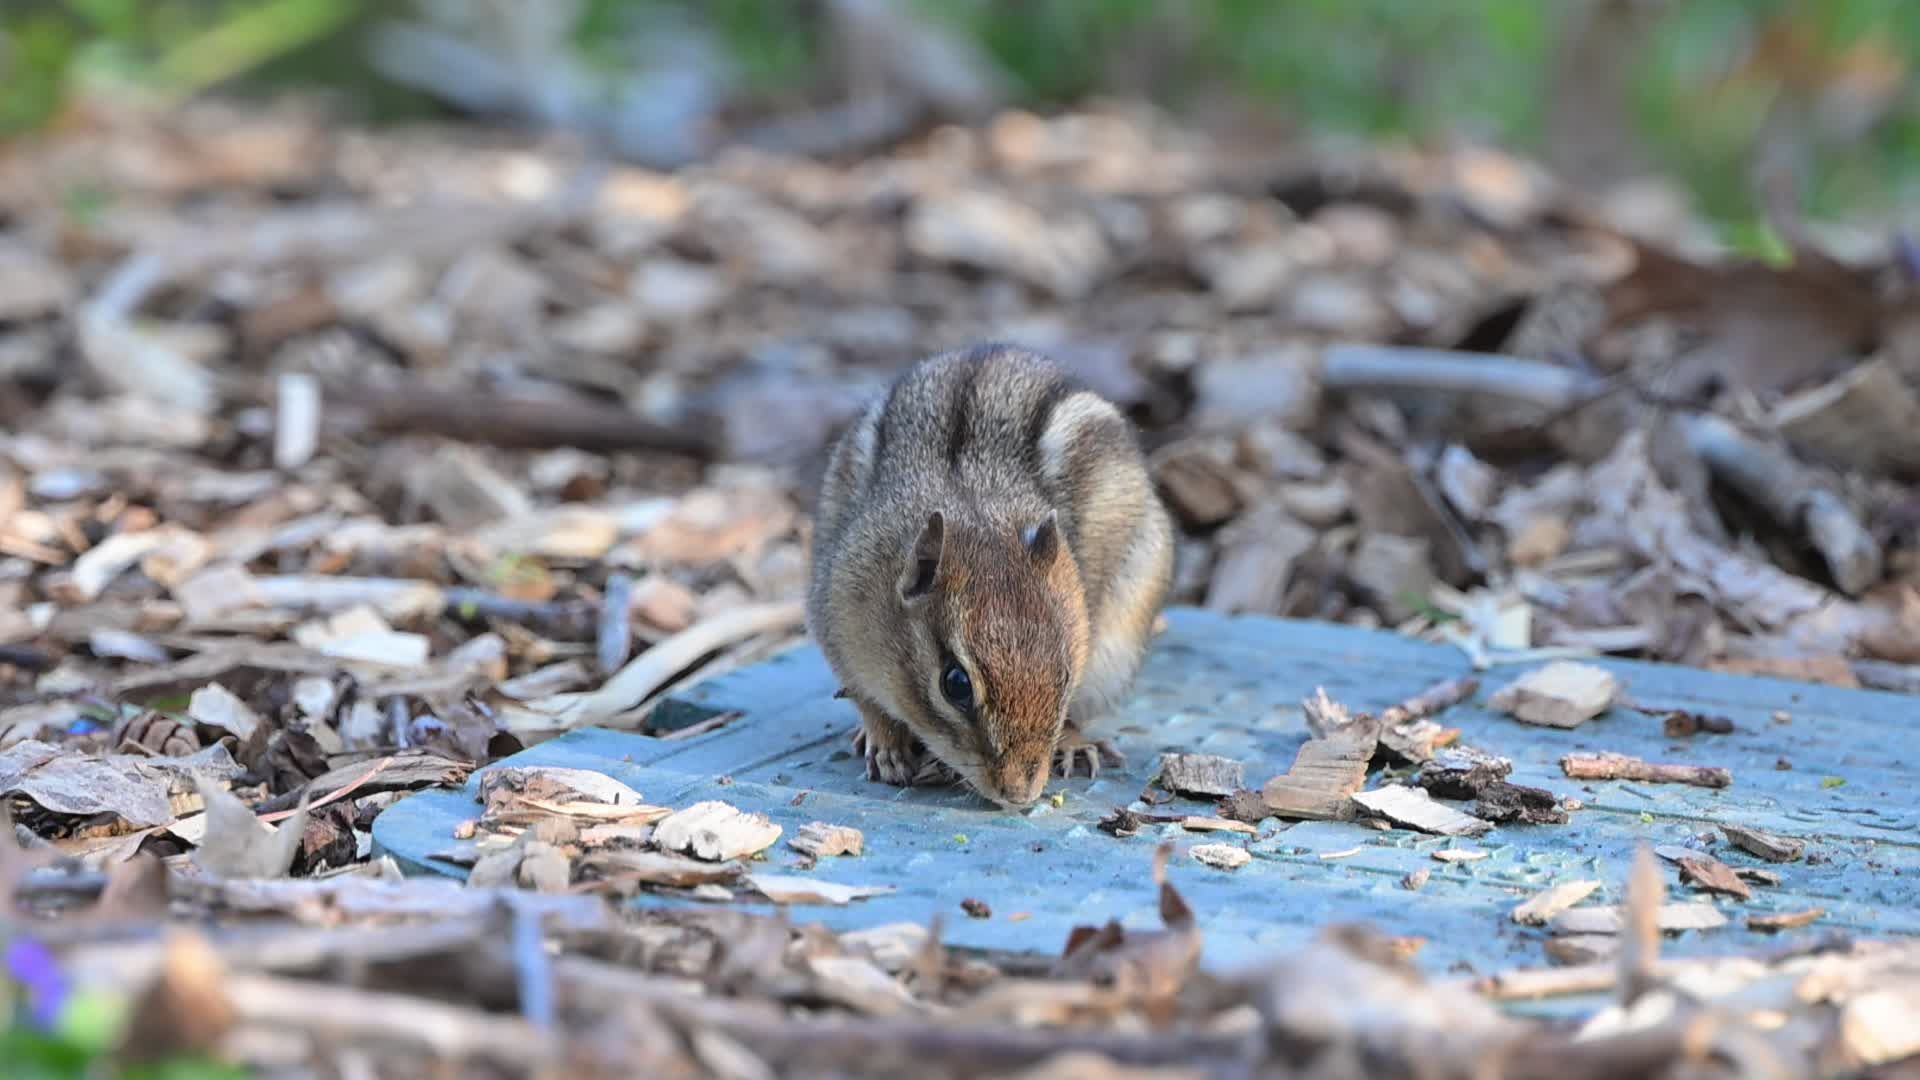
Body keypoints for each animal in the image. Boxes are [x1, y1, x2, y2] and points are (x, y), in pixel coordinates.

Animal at [805, 343, 1174, 810]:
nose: (1020, 793)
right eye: (956, 684)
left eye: (1065, 676)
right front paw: (885, 743)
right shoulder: (837, 619)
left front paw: (1069, 739)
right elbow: (866, 698)